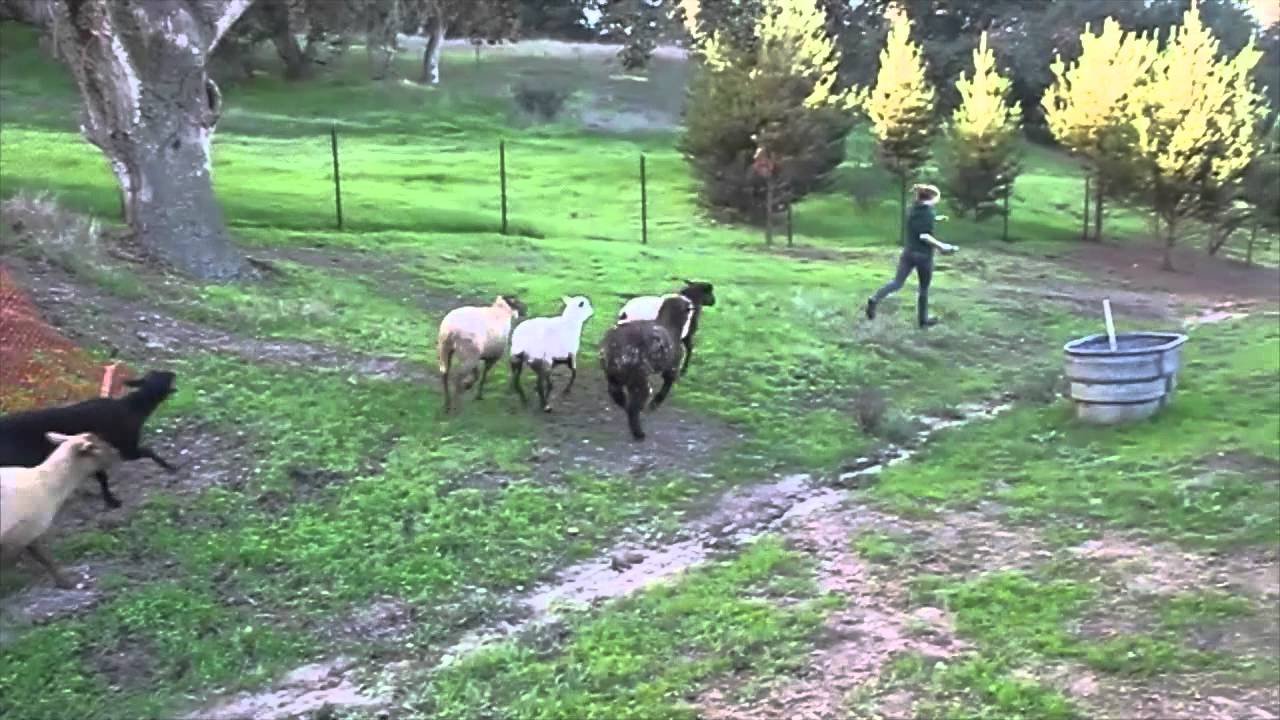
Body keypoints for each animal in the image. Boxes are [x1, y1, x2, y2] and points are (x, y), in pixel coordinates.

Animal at [0, 369, 178, 509]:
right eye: (162, 375)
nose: (173, 373)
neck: (133, 407)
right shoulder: (126, 448)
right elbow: (149, 451)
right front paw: (169, 466)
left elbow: (102, 476)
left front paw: (109, 500)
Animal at [1, 432, 121, 589]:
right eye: (97, 447)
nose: (117, 453)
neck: (47, 483)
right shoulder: (29, 531)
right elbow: (46, 559)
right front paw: (66, 582)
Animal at [599, 295, 695, 441]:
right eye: (689, 313)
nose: (690, 330)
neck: (670, 324)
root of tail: (614, 347)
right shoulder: (672, 367)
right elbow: (667, 385)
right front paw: (655, 403)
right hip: (639, 379)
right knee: (633, 407)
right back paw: (639, 433)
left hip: (614, 376)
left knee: (616, 394)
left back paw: (625, 406)